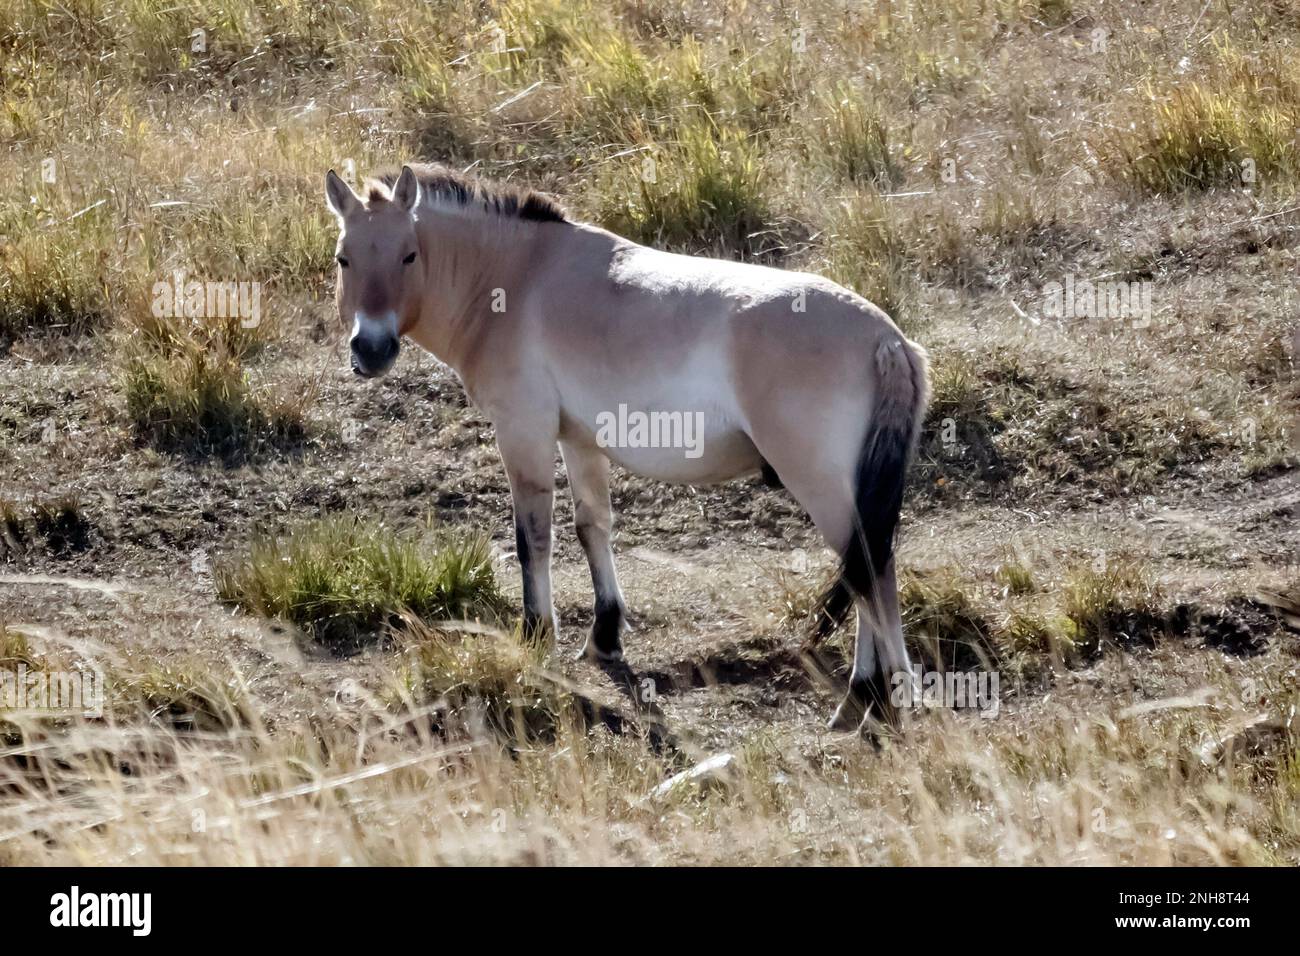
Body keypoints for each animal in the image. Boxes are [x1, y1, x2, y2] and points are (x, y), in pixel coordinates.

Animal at [324, 163, 930, 732]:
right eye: (344, 258)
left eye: (408, 255)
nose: (371, 350)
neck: (515, 276)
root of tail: (886, 338)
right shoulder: (579, 441)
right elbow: (592, 527)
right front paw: (603, 636)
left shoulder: (524, 433)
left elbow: (533, 539)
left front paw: (536, 637)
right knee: (868, 568)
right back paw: (867, 699)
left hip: (823, 487)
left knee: (871, 574)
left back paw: (871, 700)